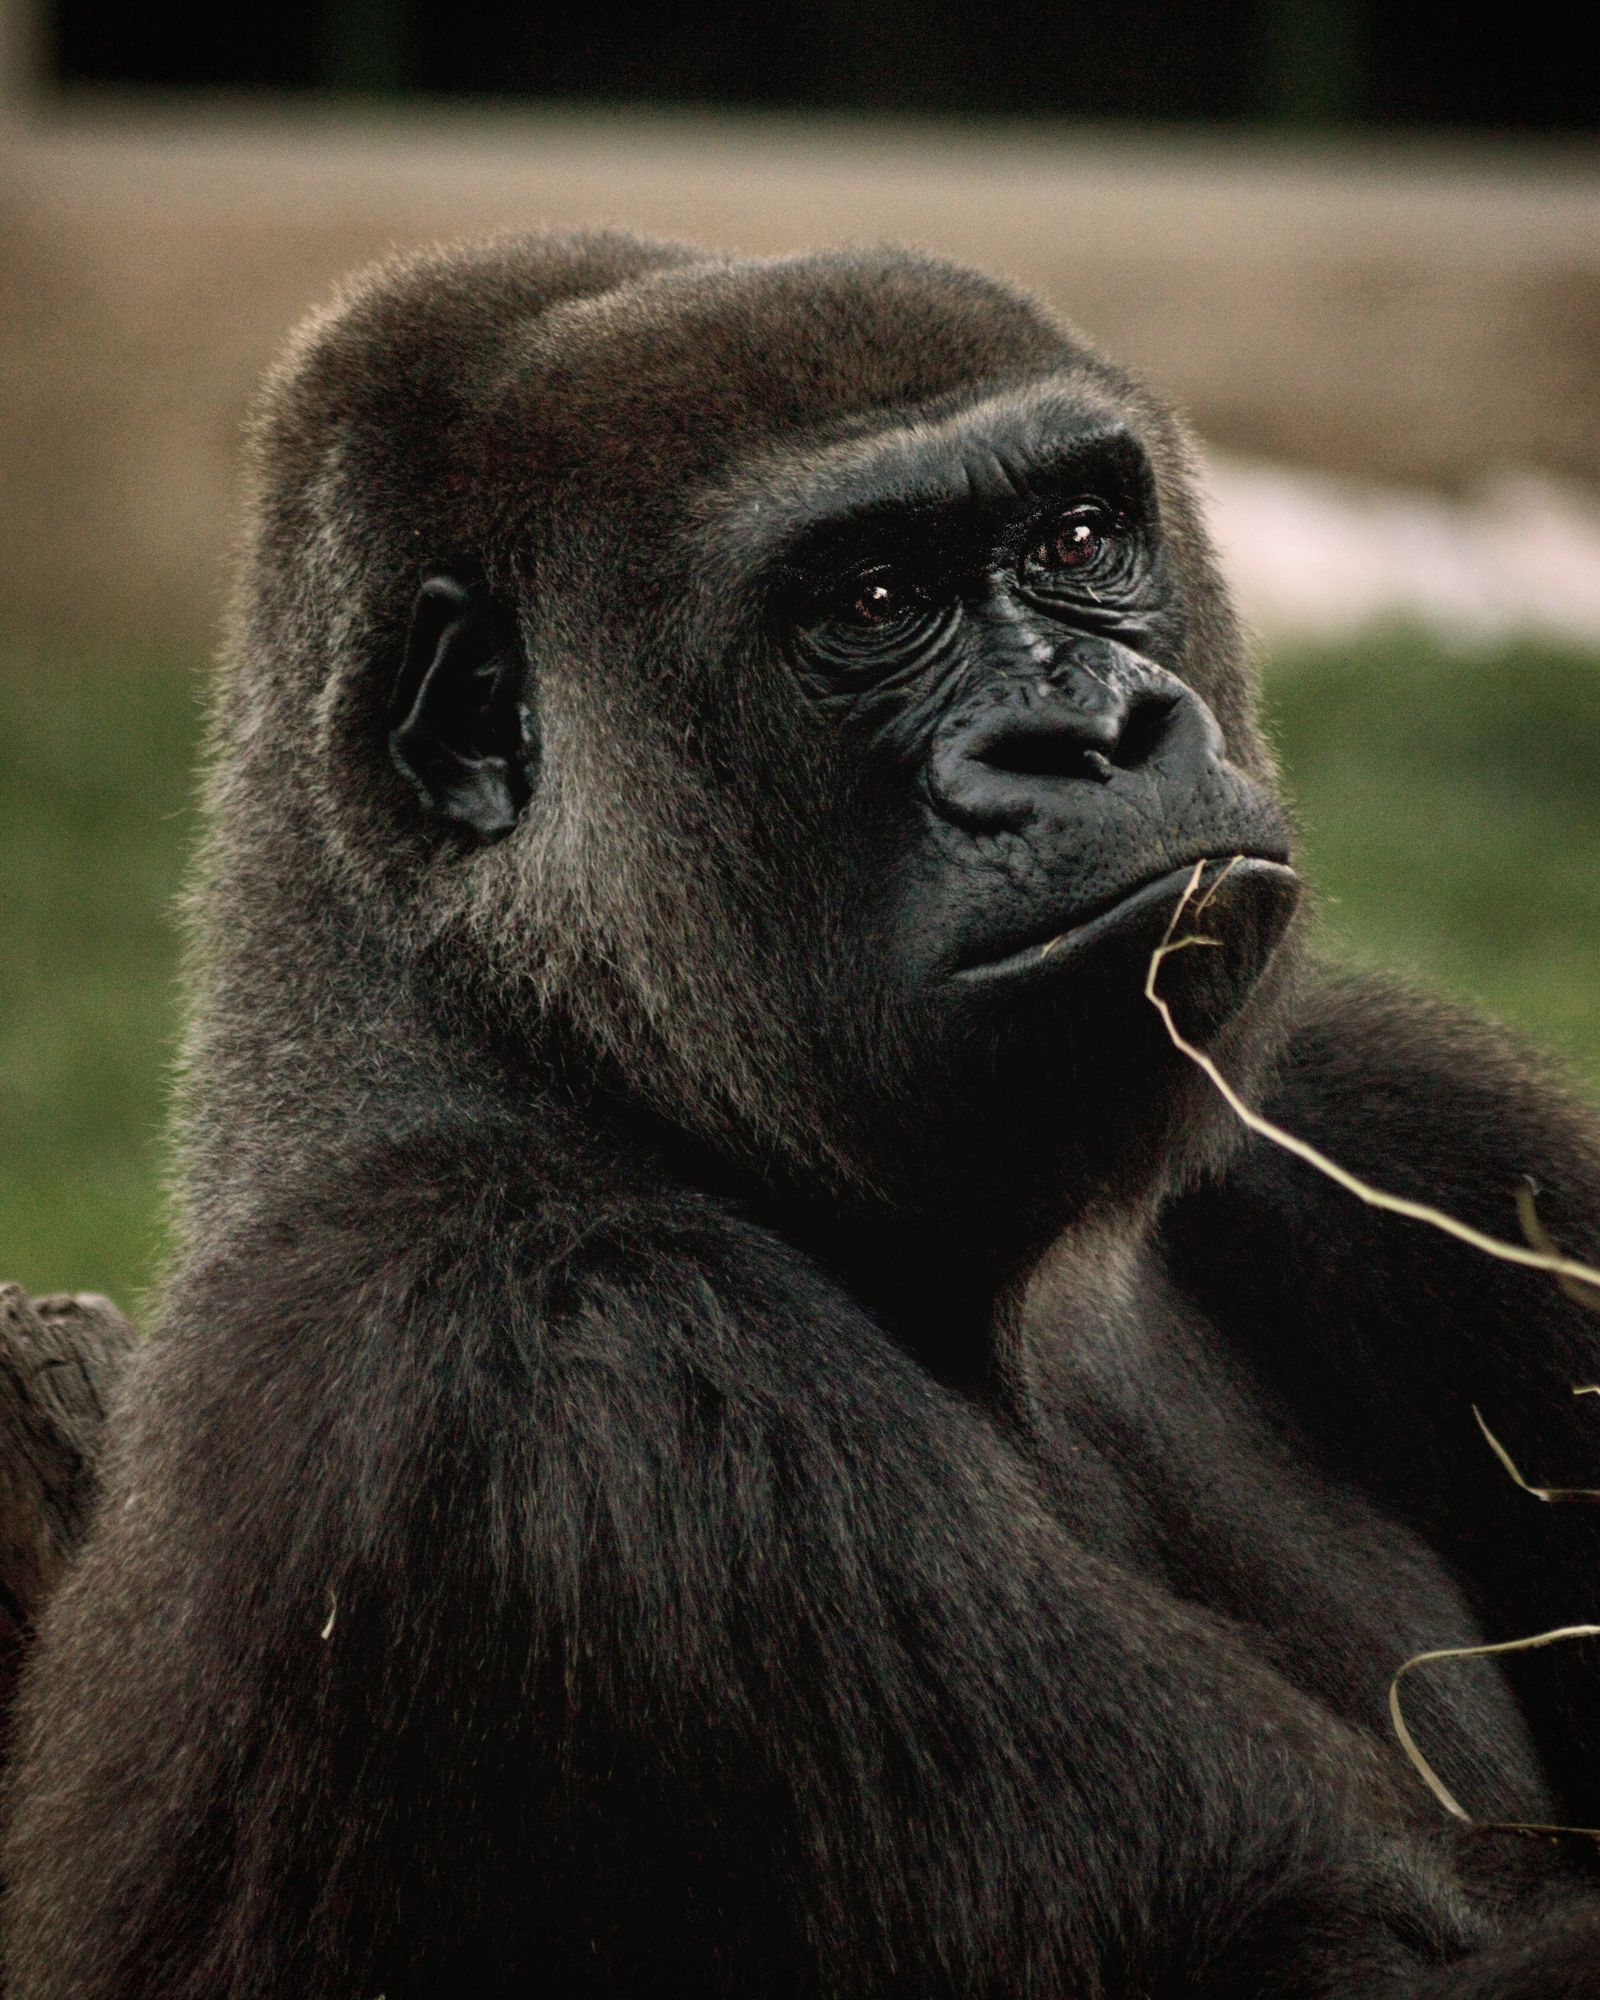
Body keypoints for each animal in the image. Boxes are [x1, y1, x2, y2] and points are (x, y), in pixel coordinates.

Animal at [4, 230, 1600, 1995]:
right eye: (876, 603)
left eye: (1082, 537)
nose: (1100, 731)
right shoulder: (540, 1351)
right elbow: (1367, 1952)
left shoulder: (1392, 1107)